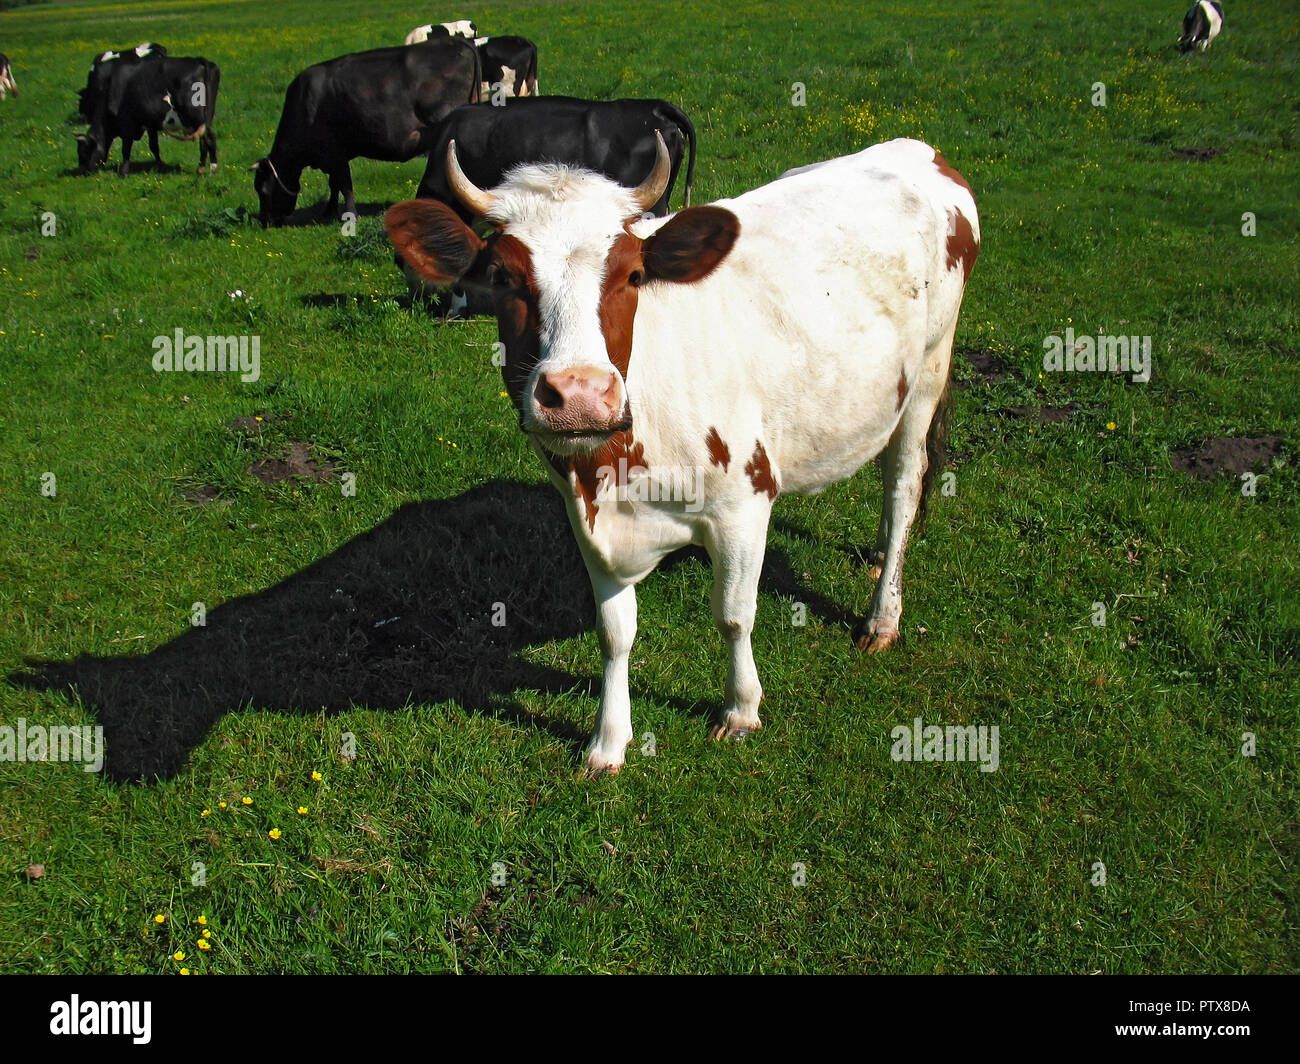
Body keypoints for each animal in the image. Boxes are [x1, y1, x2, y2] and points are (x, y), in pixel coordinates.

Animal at [76, 54, 220, 176]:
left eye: (84, 152)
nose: (82, 172)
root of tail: (198, 60)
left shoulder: (127, 125)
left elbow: (126, 149)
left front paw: (124, 172)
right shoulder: (151, 124)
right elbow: (154, 146)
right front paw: (160, 165)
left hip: (195, 115)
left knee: (210, 137)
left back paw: (213, 168)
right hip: (205, 118)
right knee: (203, 140)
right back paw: (201, 167)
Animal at [253, 40, 481, 228]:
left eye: (262, 191)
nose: (265, 221)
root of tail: (456, 41)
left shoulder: (335, 153)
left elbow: (345, 185)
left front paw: (350, 215)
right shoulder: (333, 157)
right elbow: (334, 184)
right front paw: (329, 210)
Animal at [385, 135, 979, 776]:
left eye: (633, 274)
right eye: (502, 276)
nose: (579, 395)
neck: (612, 475)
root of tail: (915, 148)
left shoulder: (744, 502)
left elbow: (734, 614)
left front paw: (740, 708)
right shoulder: (583, 515)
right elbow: (614, 632)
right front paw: (608, 740)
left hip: (928, 372)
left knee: (904, 487)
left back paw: (882, 614)